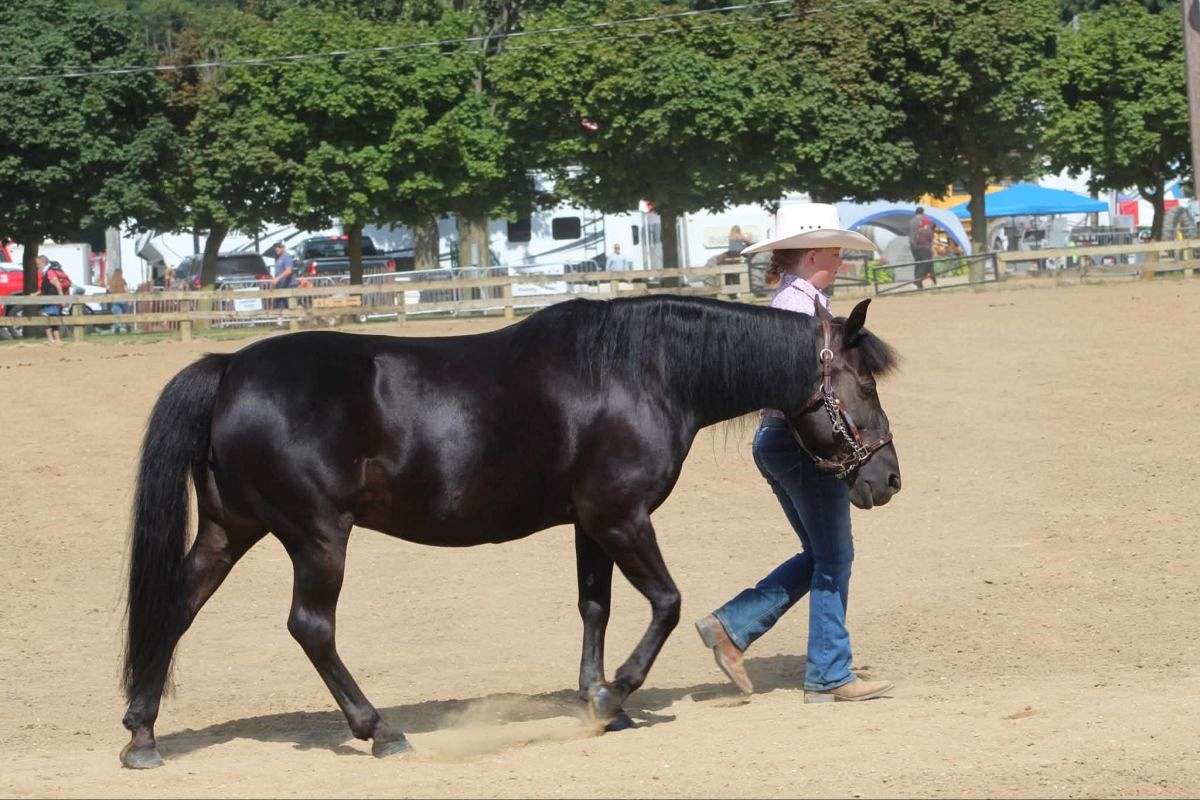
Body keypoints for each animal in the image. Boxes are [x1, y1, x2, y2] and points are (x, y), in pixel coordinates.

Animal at [120, 294, 901, 769]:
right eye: (863, 386)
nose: (886, 480)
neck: (640, 372)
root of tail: (230, 369)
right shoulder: (621, 516)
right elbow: (667, 603)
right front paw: (614, 697)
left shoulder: (592, 522)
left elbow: (595, 606)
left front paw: (600, 701)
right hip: (316, 535)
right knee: (310, 627)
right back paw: (380, 731)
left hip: (232, 528)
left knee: (174, 606)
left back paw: (142, 734)